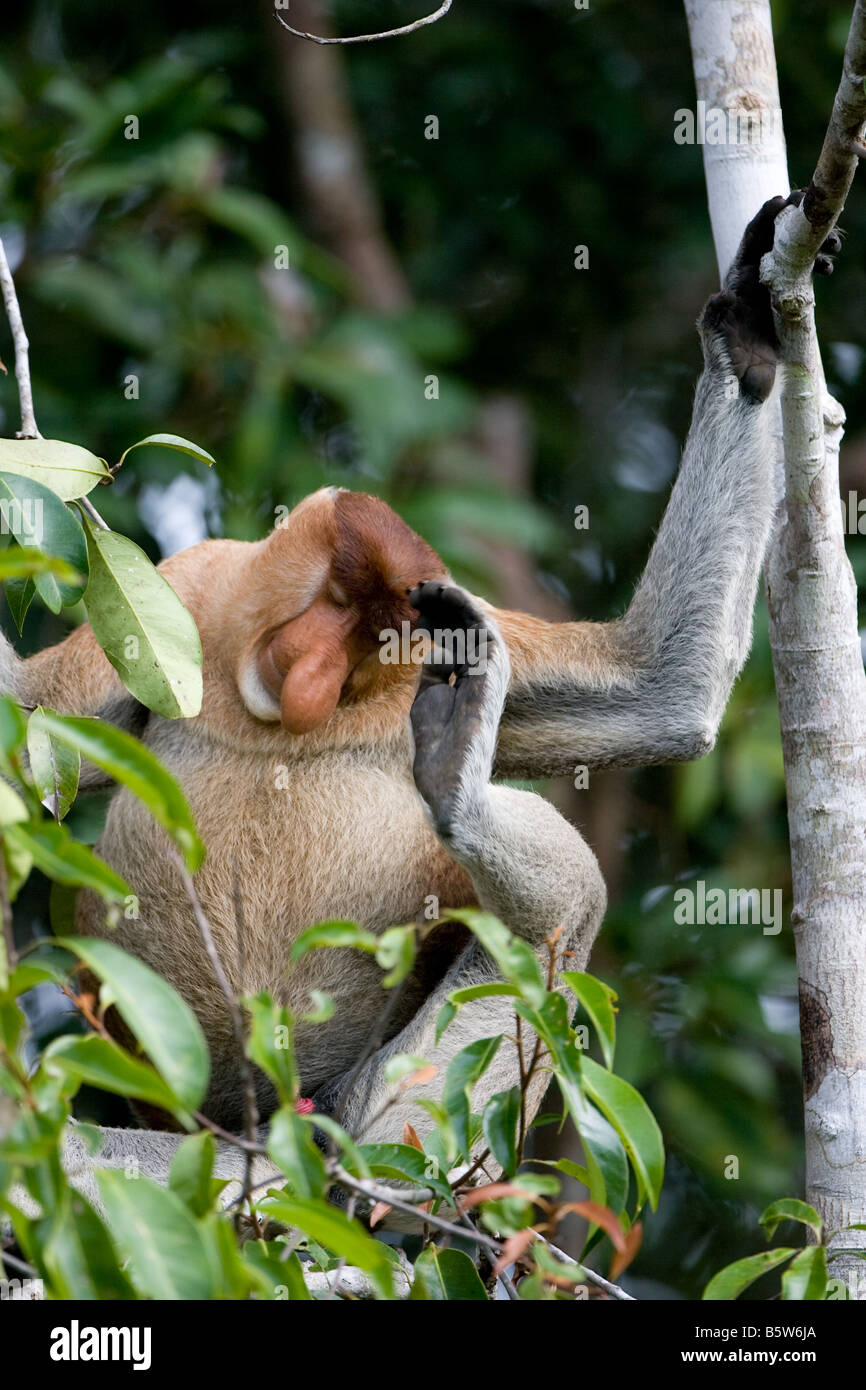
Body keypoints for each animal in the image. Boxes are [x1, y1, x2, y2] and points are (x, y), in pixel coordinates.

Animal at [0, 195, 841, 1176]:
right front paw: (745, 324)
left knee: (559, 901)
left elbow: (658, 695)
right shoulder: (179, 593)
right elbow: (29, 714)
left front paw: (745, 337)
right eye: (334, 603)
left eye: (379, 639)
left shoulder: (461, 623)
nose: (313, 679)